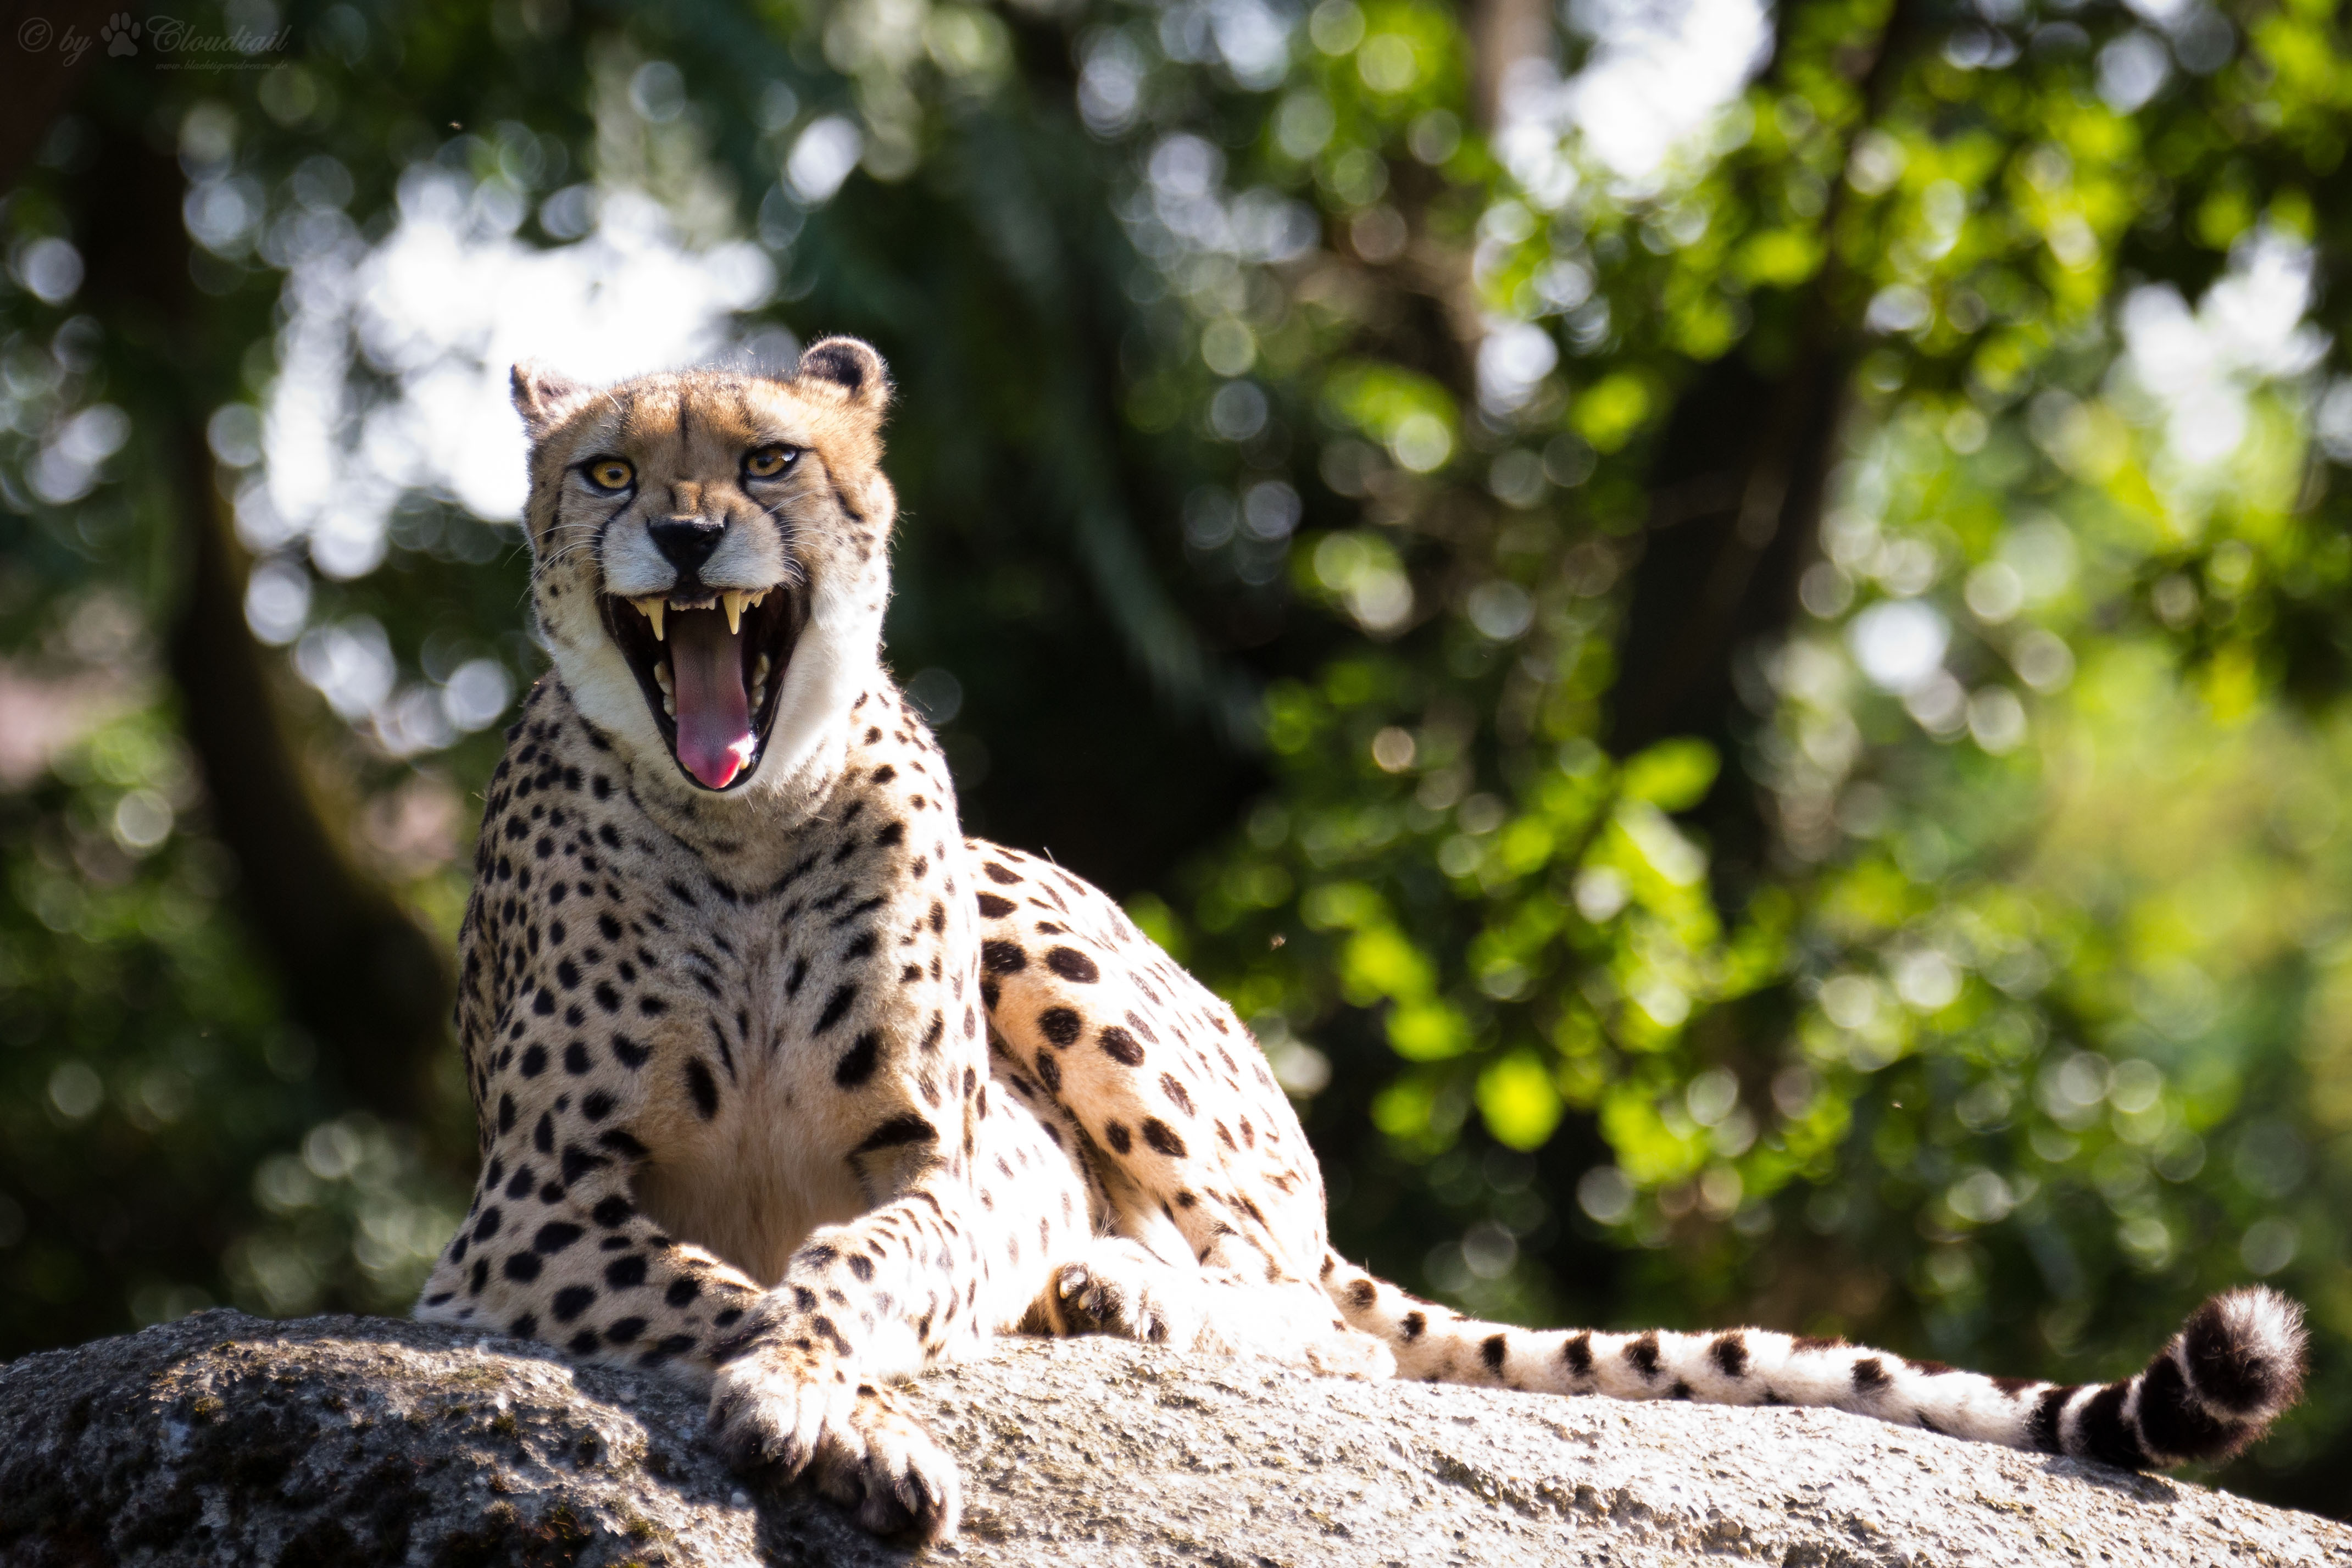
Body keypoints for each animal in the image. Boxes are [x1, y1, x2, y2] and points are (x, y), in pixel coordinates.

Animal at [415, 336, 2307, 1542]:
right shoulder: (517, 1225)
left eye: (766, 458)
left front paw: (835, 1384)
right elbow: (715, 1286)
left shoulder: (971, 1158)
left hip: (1052, 943)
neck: (735, 822)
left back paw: (1121, 1287)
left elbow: (862, 1260)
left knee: (1313, 1309)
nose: (681, 535)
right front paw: (838, 1405)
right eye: (605, 468)